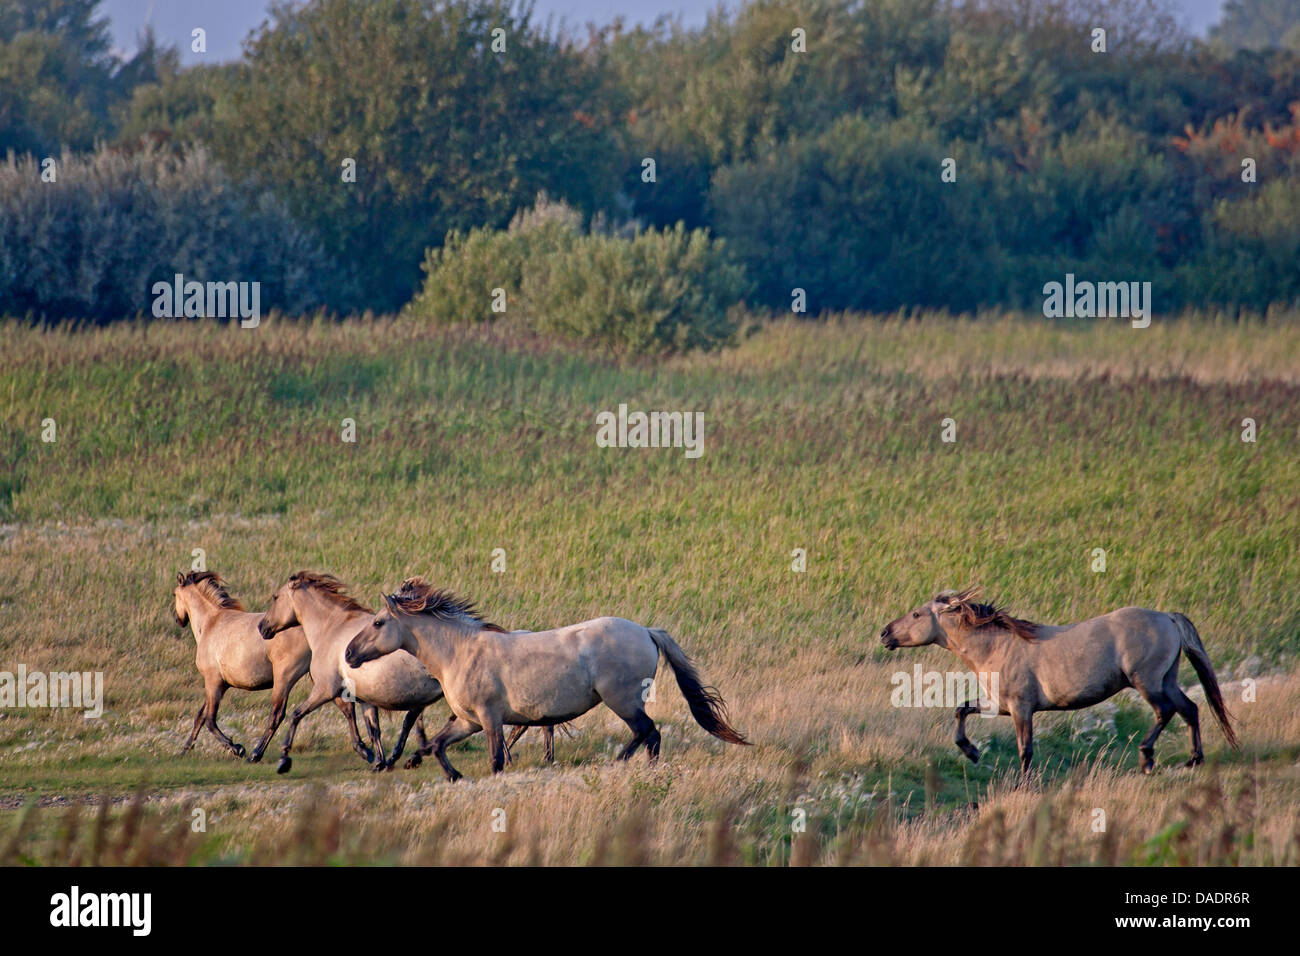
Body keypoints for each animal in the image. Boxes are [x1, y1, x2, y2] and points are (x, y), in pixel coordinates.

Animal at [172, 570, 372, 763]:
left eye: (174, 594)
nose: (177, 619)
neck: (210, 623)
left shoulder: (213, 681)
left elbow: (210, 720)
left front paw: (237, 748)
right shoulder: (221, 684)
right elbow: (201, 716)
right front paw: (185, 749)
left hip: (285, 677)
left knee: (277, 714)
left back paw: (256, 754)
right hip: (323, 678)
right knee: (347, 708)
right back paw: (364, 750)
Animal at [343, 577, 750, 781]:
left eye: (378, 623)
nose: (348, 654)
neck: (459, 652)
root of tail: (647, 631)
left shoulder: (490, 719)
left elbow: (496, 759)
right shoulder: (468, 720)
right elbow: (439, 745)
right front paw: (450, 774)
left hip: (621, 700)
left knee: (648, 733)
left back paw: (624, 765)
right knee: (647, 735)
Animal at [879, 588, 1239, 774]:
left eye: (916, 614)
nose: (884, 633)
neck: (998, 646)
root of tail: (1167, 617)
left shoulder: (1021, 708)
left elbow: (1025, 750)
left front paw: (1022, 783)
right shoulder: (999, 706)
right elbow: (961, 709)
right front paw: (971, 752)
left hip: (1146, 681)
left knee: (1165, 711)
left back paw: (1147, 756)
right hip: (1167, 679)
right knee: (1190, 709)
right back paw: (1194, 759)